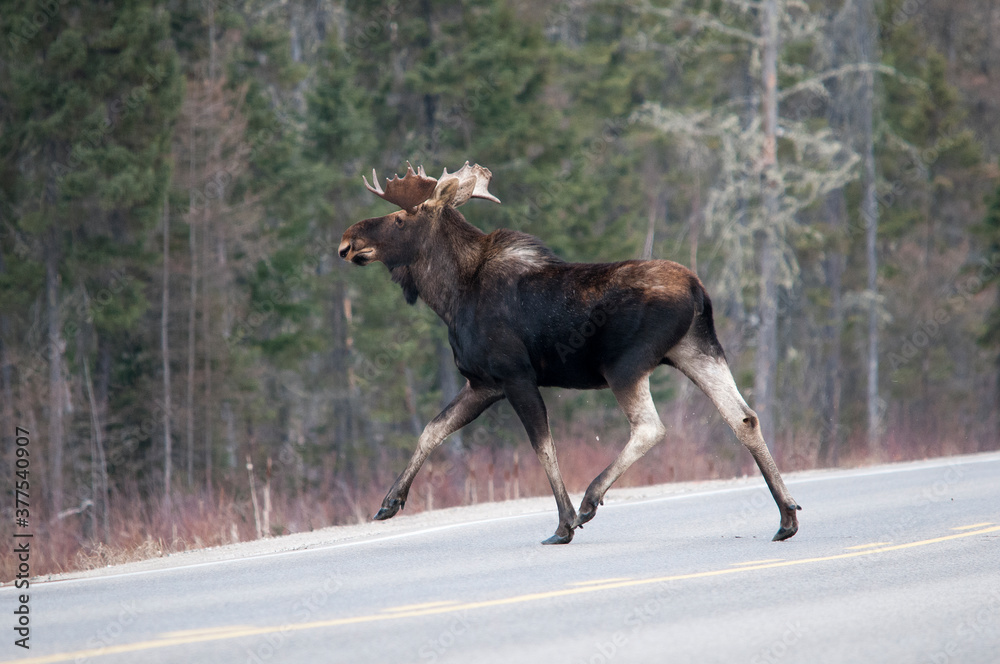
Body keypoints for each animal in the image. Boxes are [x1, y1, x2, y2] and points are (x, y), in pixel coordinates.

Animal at [339, 162, 801, 545]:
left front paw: (563, 525)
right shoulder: (483, 382)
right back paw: (787, 516)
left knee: (651, 427)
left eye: (400, 218)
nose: (347, 241)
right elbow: (432, 429)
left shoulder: (515, 376)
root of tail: (698, 290)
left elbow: (543, 445)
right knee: (744, 417)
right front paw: (389, 502)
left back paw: (589, 500)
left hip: (625, 366)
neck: (448, 295)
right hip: (697, 350)